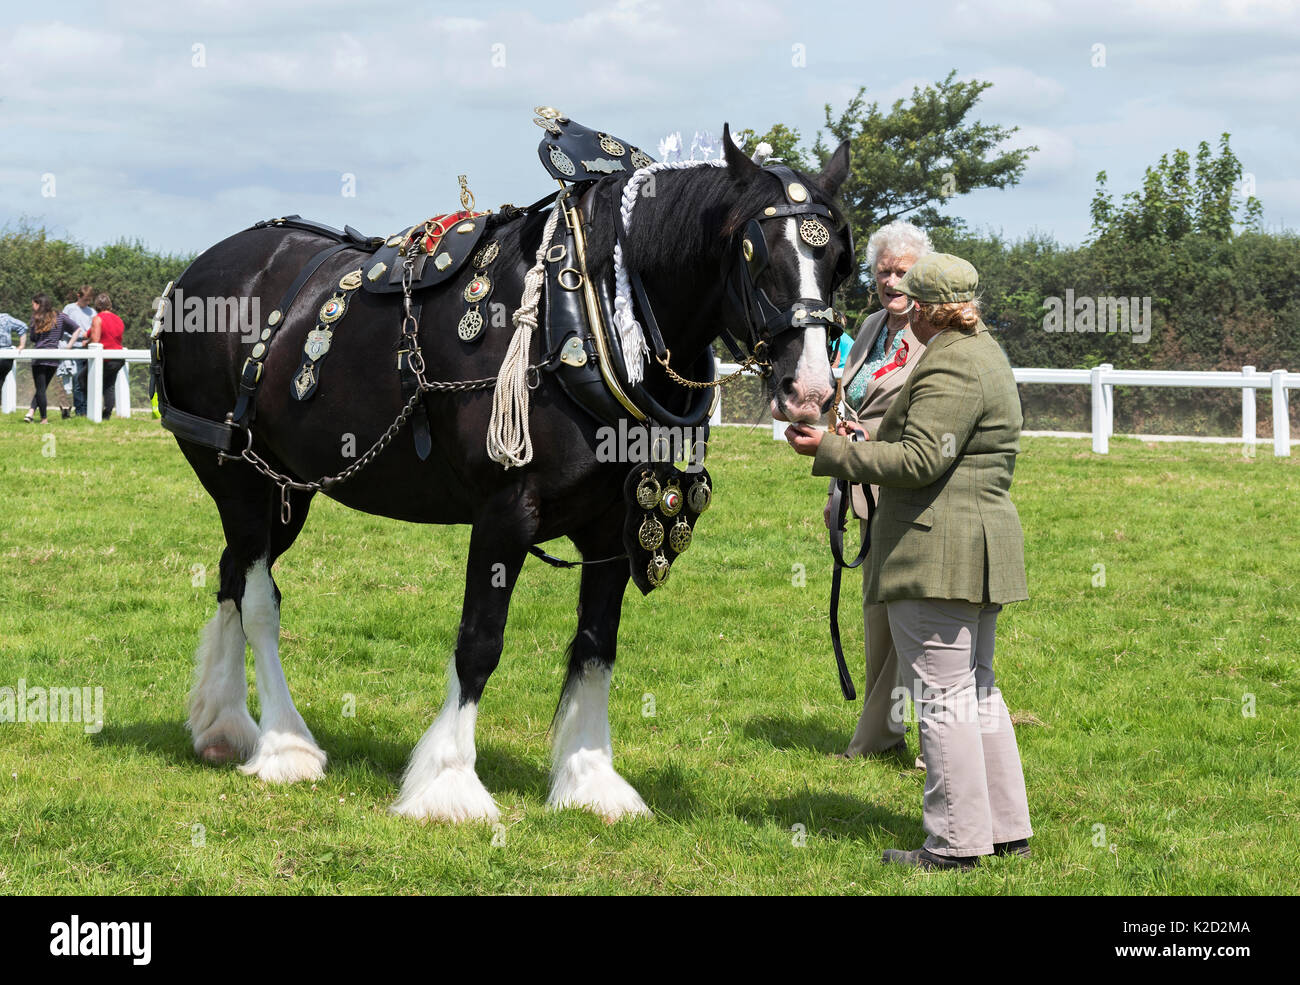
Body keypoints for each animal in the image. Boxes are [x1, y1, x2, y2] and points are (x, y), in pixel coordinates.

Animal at [159, 127, 852, 822]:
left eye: (839, 259)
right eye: (753, 253)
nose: (812, 391)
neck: (582, 312)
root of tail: (196, 272)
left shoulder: (614, 527)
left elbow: (596, 647)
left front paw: (591, 778)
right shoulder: (505, 512)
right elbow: (480, 642)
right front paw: (448, 783)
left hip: (286, 491)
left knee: (233, 578)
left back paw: (224, 727)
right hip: (237, 480)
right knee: (258, 602)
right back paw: (284, 746)